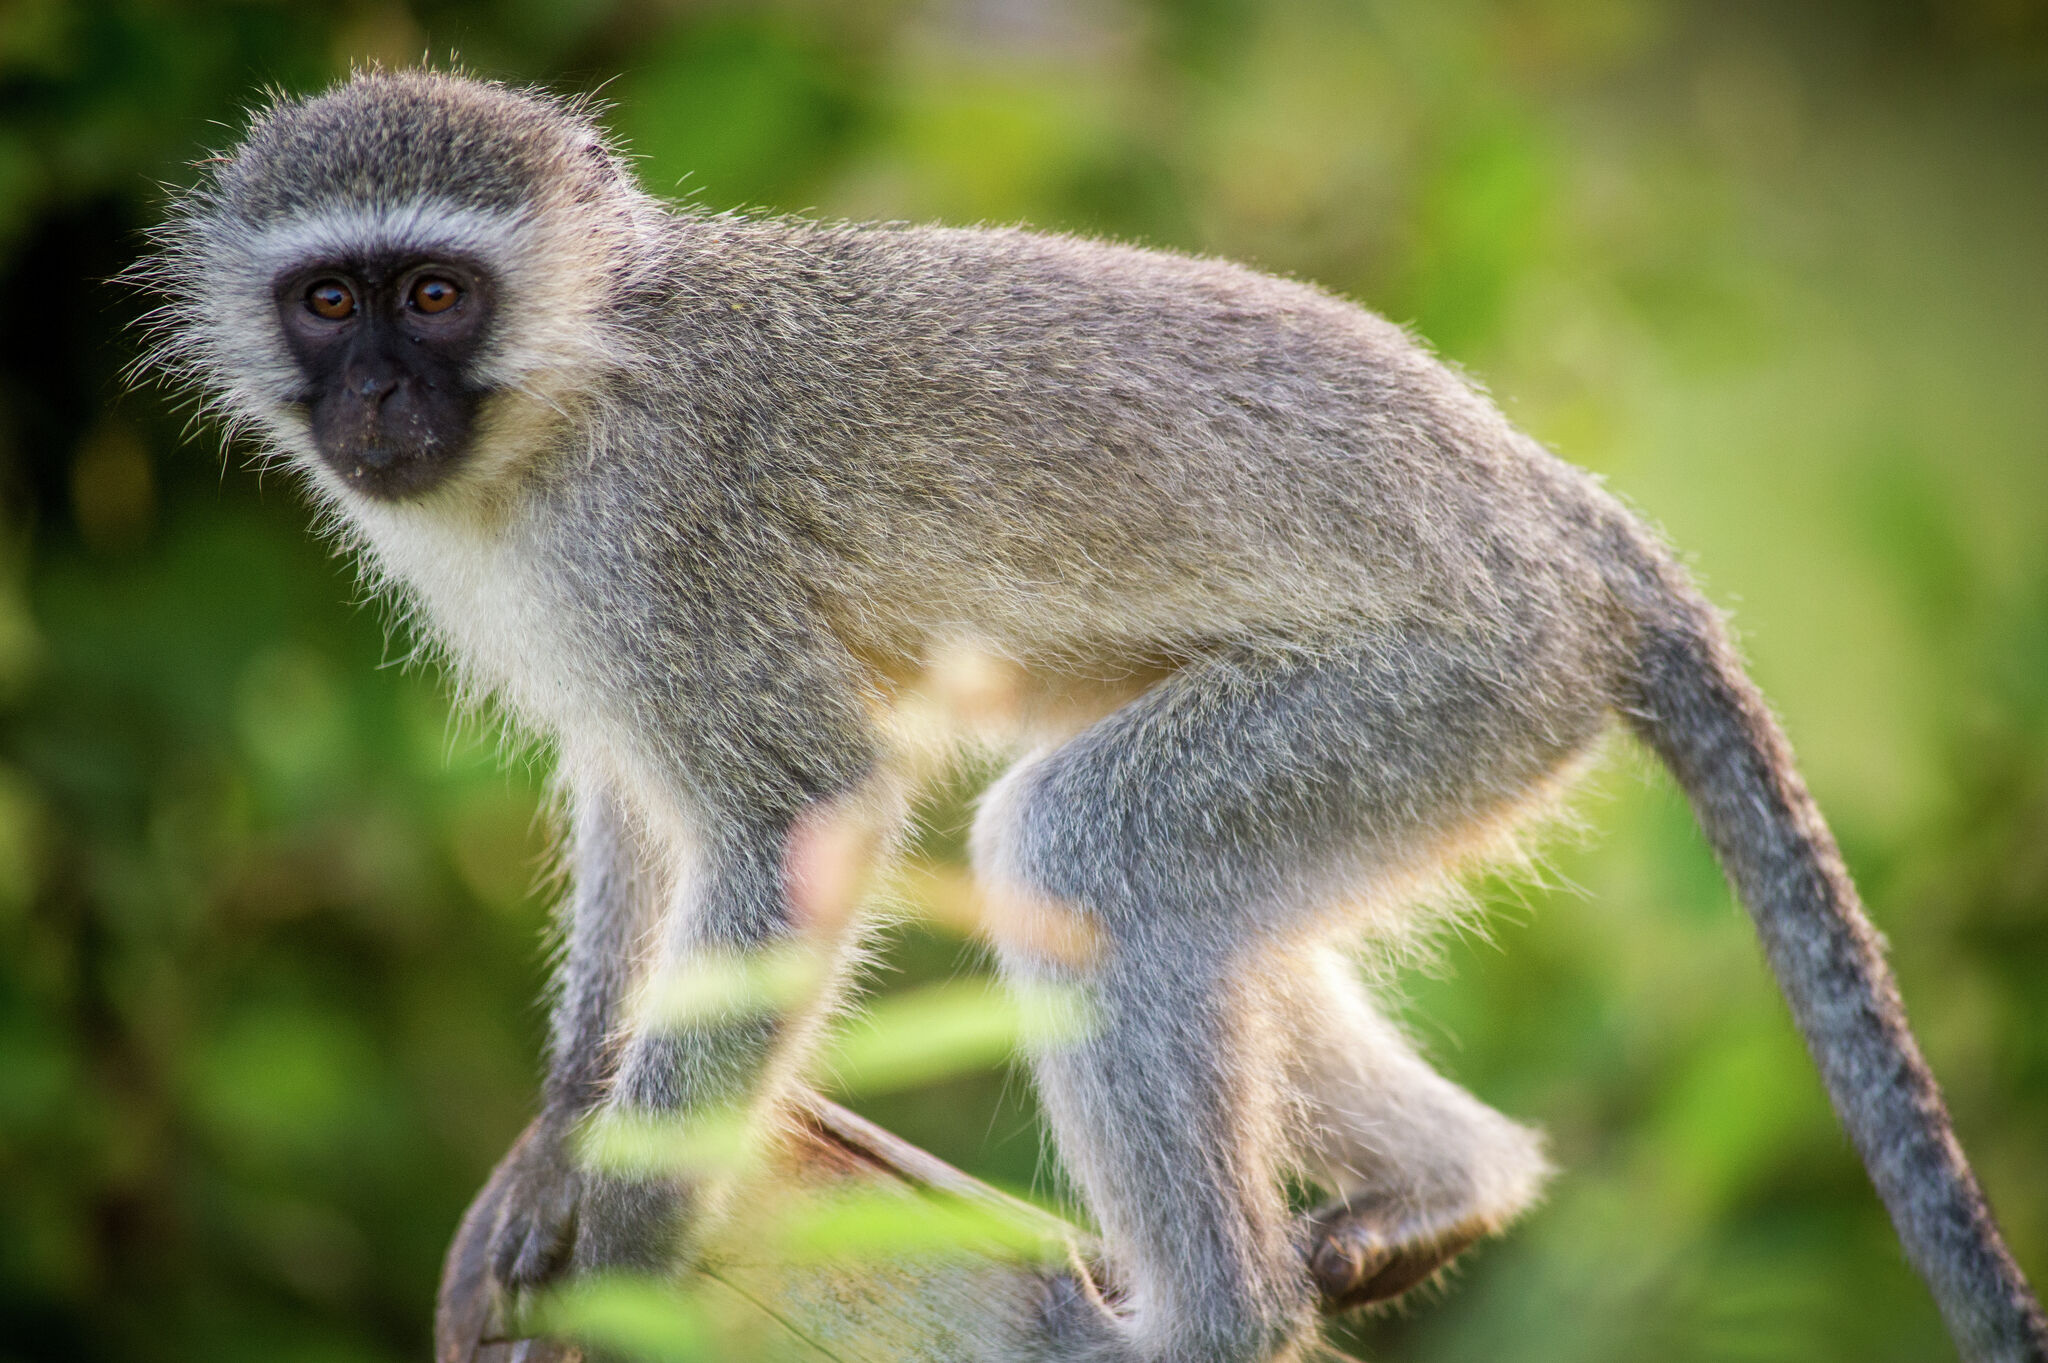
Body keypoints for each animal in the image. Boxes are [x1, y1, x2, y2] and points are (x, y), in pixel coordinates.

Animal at [130, 70, 2045, 1363]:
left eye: (435, 292)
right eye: (330, 298)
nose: (377, 401)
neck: (564, 403)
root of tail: (1567, 521)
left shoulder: (663, 540)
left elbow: (799, 811)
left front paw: (631, 1215)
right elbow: (634, 813)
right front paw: (560, 1136)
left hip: (1451, 678)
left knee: (1079, 847)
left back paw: (1212, 1319)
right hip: (1458, 723)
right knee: (1175, 900)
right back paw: (1451, 1181)